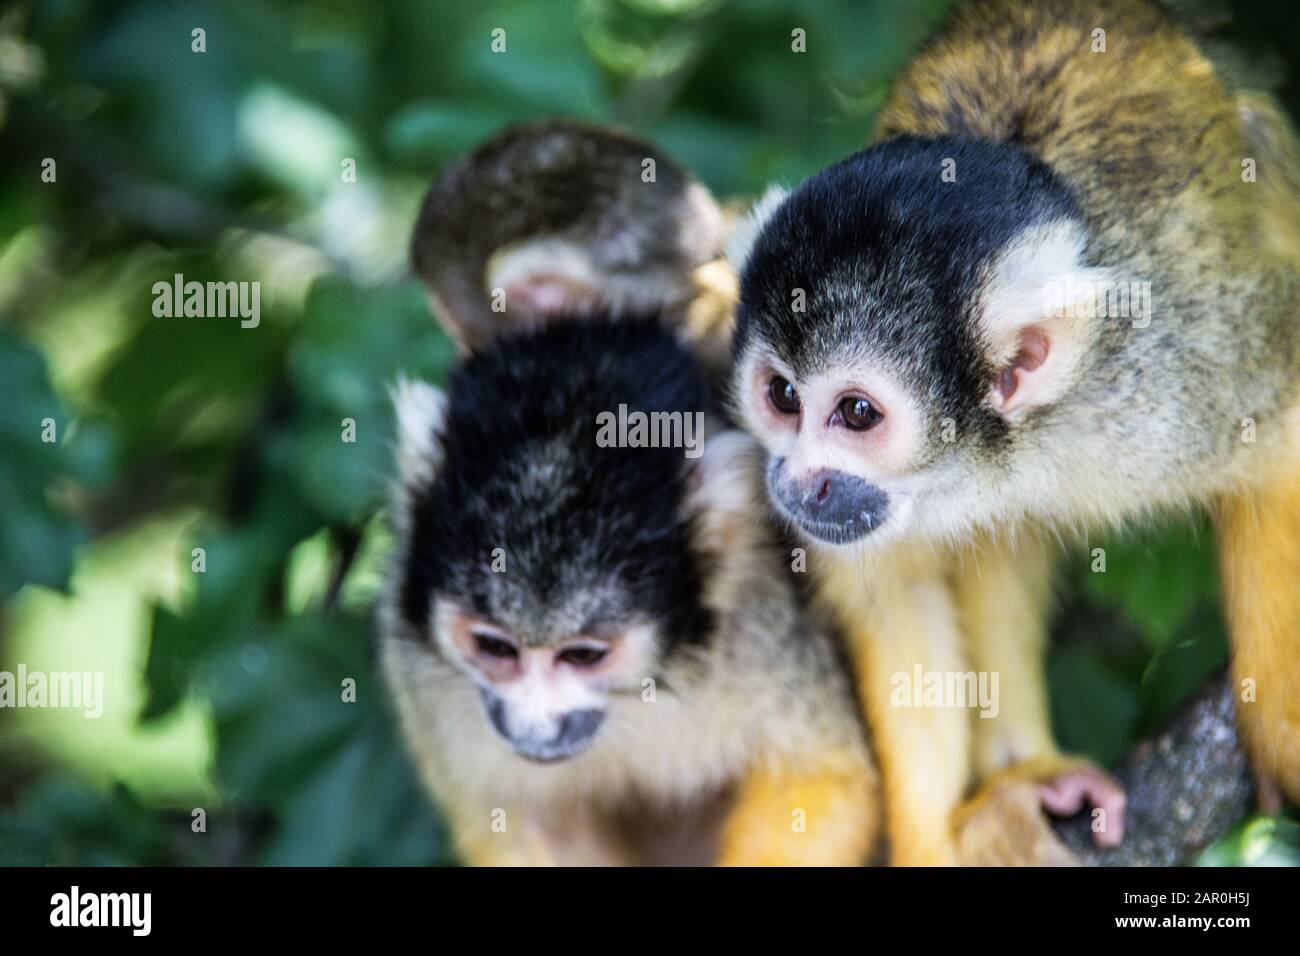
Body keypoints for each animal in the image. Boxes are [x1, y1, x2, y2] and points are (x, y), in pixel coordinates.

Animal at [377, 316, 880, 865]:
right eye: (494, 647)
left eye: (583, 655)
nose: (535, 731)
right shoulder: (418, 676)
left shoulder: (757, 627)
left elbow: (822, 779)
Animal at [728, 0, 1300, 864]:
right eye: (782, 396)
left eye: (856, 413)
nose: (793, 483)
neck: (1021, 435)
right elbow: (897, 586)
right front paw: (930, 841)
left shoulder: (1184, 372)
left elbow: (1282, 440)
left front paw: (1282, 708)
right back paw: (1022, 772)